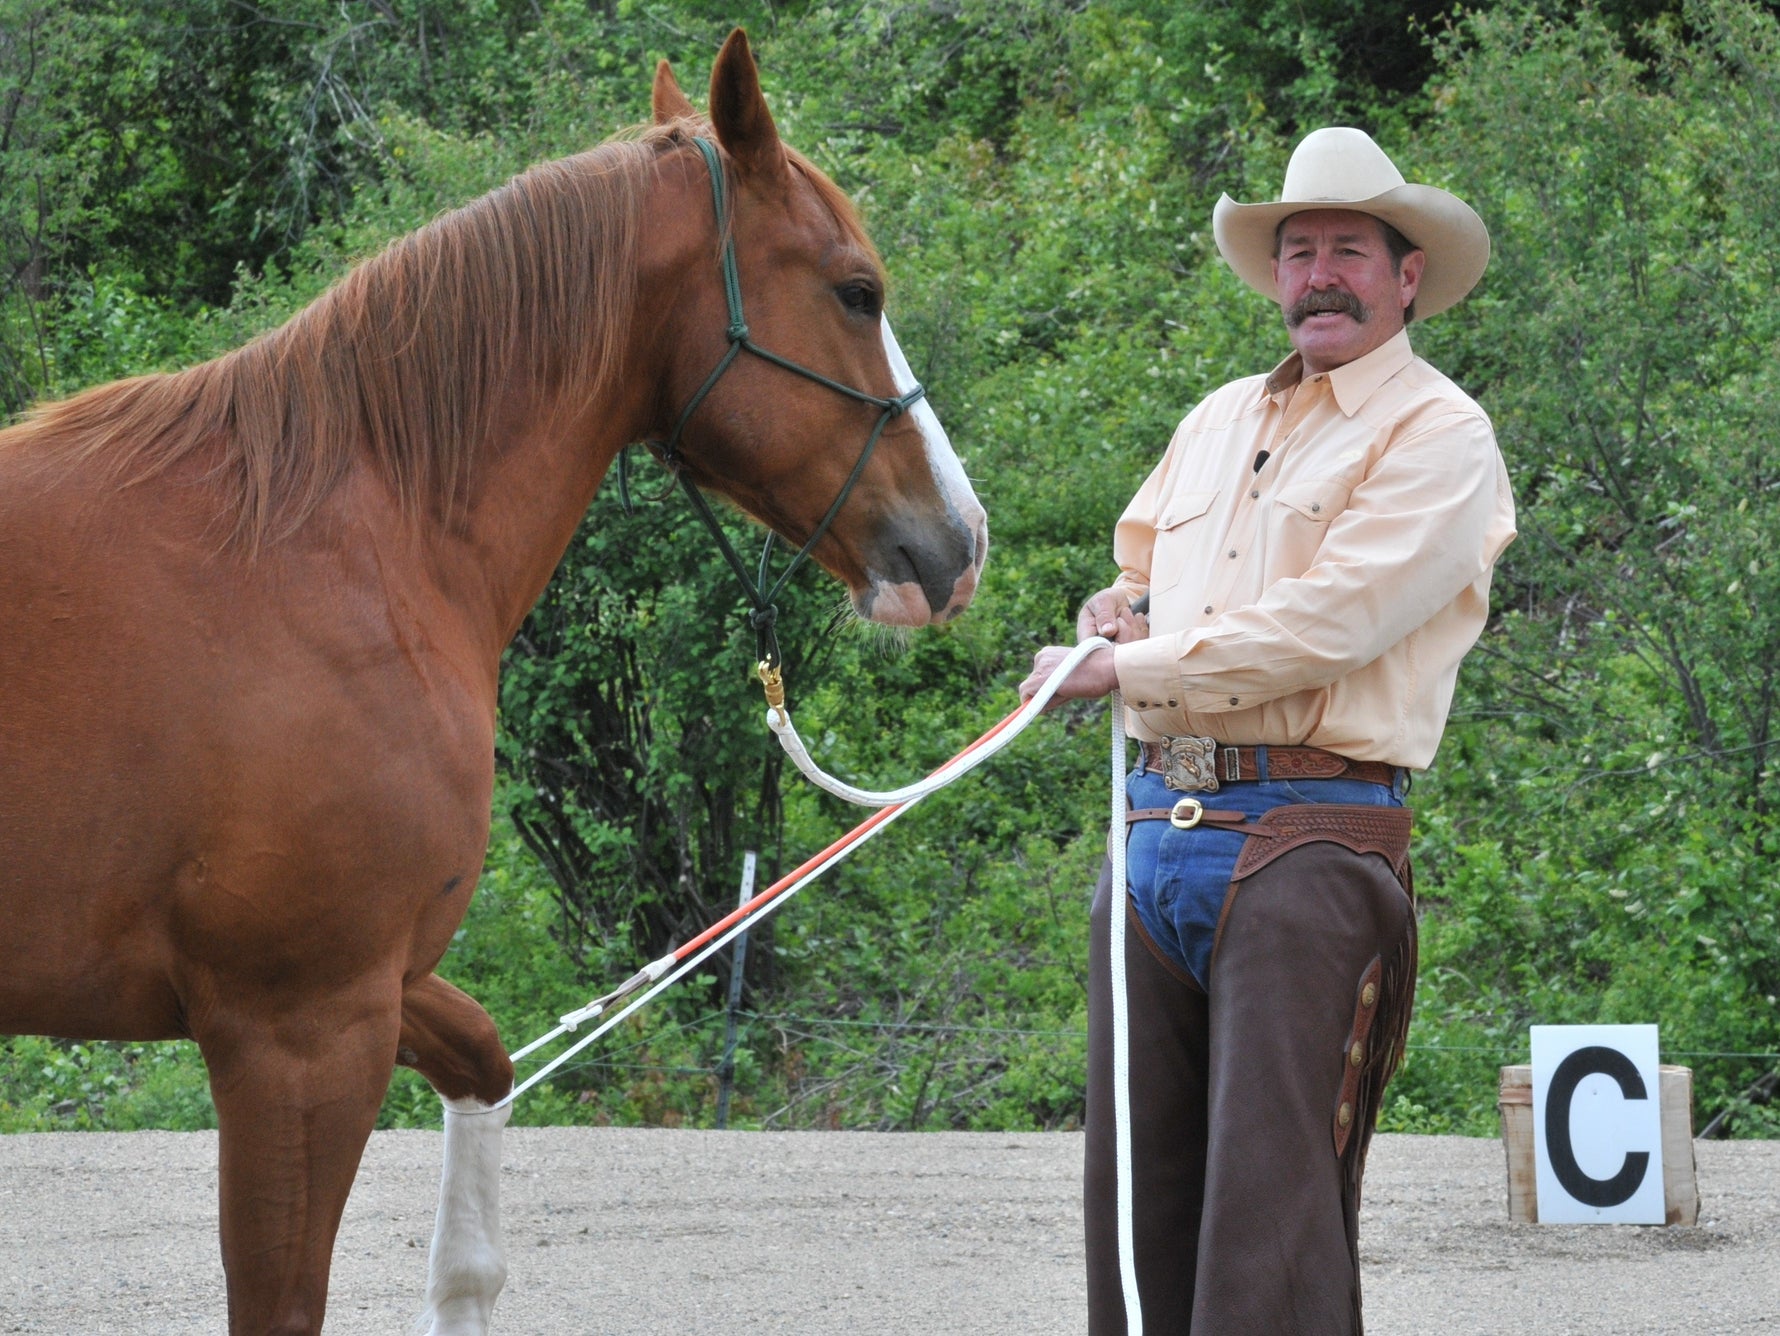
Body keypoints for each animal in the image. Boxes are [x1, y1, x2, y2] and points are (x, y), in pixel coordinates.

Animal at [0, 30, 986, 1335]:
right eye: (855, 290)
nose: (959, 540)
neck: (343, 545)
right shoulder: (299, 1027)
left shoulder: (377, 982)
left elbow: (483, 1071)